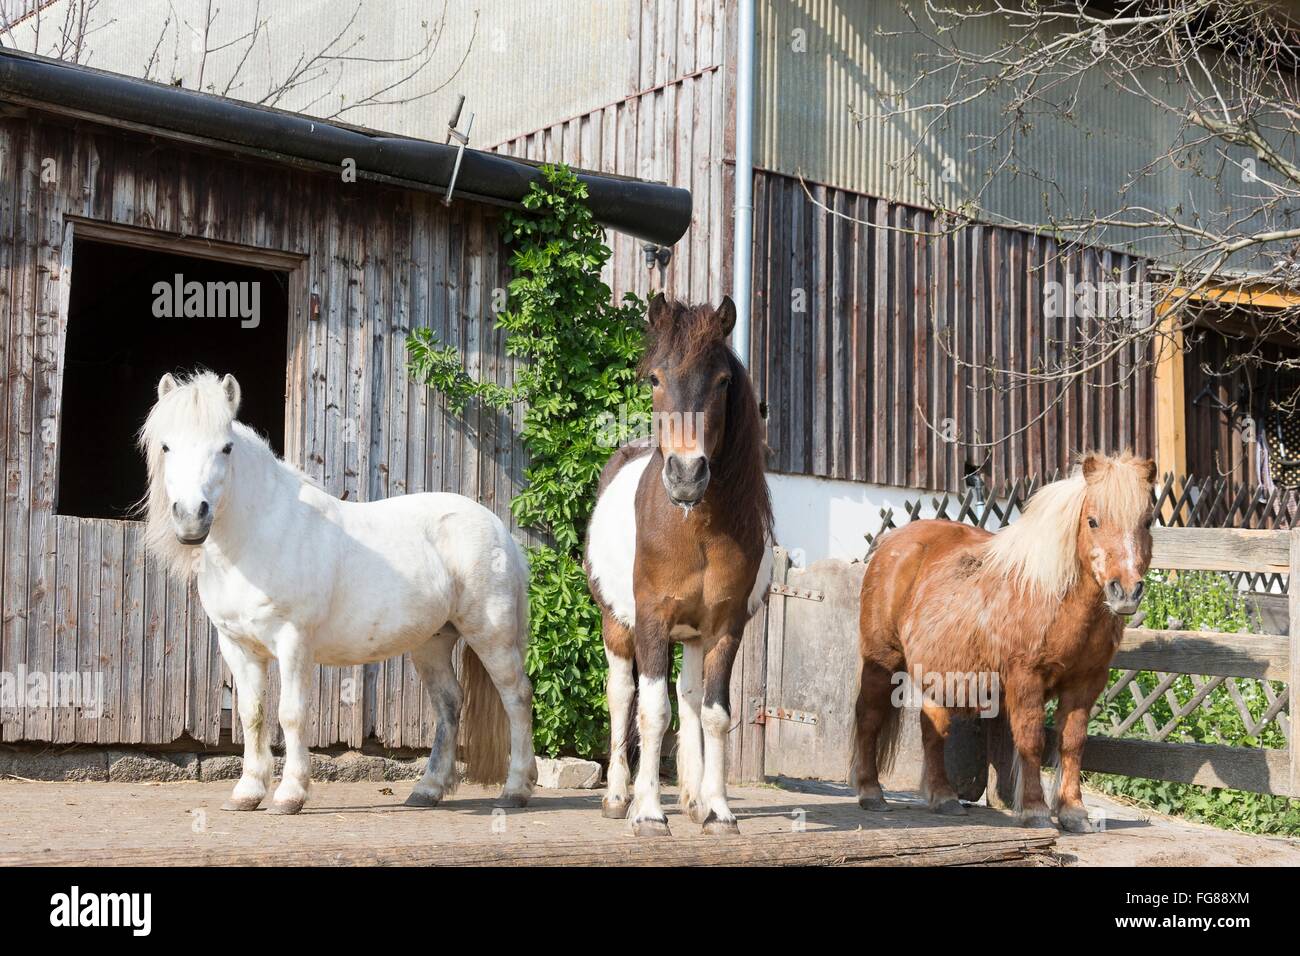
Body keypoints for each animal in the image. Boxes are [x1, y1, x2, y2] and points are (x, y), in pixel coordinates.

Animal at [139, 370, 535, 814]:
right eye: (166, 445)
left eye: (225, 447)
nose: (192, 517)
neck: (259, 534)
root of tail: (499, 529)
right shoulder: (237, 644)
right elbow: (251, 714)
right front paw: (247, 793)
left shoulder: (293, 641)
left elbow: (291, 714)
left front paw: (290, 795)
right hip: (432, 642)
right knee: (449, 704)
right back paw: (427, 790)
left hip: (491, 635)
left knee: (517, 698)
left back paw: (515, 790)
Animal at [584, 295, 773, 836]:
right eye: (655, 378)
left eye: (723, 381)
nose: (687, 474)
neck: (696, 528)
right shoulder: (651, 620)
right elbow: (651, 710)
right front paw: (647, 812)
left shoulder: (725, 628)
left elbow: (712, 713)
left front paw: (719, 811)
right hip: (616, 625)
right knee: (621, 694)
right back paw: (617, 796)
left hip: (692, 635)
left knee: (689, 698)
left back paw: (692, 798)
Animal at [851, 452, 1156, 832]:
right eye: (1093, 521)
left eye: (1147, 521)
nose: (1125, 591)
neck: (1053, 597)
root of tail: (891, 544)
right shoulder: (1026, 678)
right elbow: (1031, 740)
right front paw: (1036, 809)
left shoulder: (1086, 683)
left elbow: (1072, 743)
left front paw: (1073, 812)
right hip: (883, 662)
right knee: (869, 717)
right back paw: (870, 792)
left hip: (941, 675)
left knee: (932, 729)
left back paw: (944, 797)